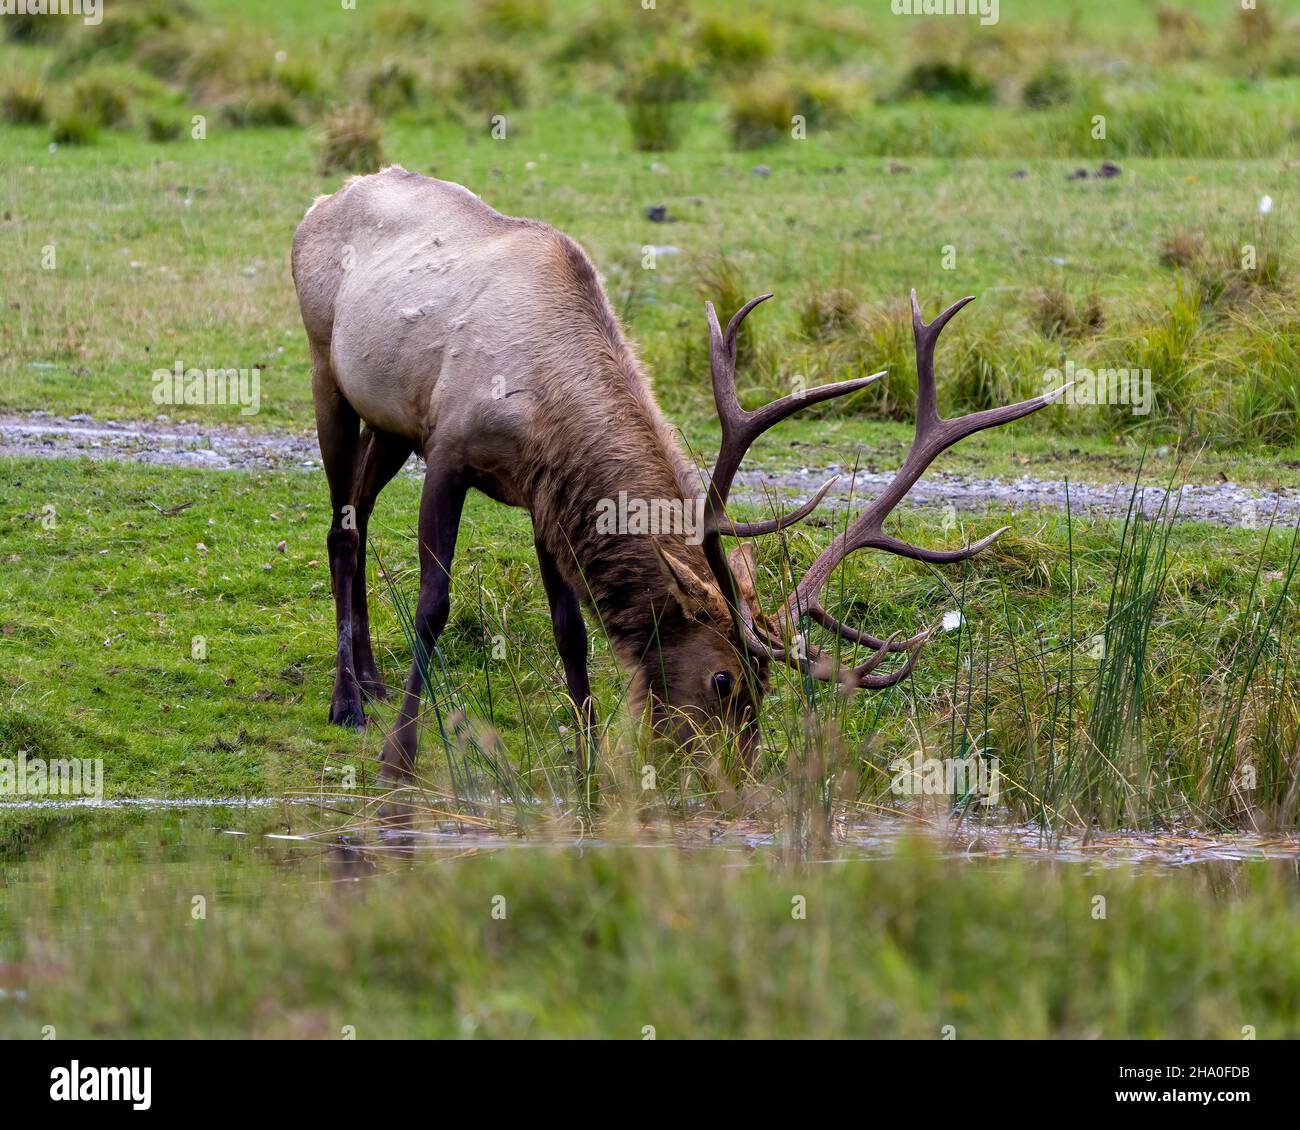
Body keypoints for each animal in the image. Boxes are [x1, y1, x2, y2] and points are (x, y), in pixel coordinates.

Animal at [291, 166, 1068, 785]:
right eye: (724, 679)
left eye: (765, 688)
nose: (732, 775)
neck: (545, 403)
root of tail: (325, 198)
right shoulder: (450, 448)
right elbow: (433, 606)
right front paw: (399, 759)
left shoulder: (542, 493)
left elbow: (571, 631)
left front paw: (589, 762)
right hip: (327, 369)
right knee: (341, 526)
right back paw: (348, 701)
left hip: (390, 422)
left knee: (360, 512)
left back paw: (369, 676)